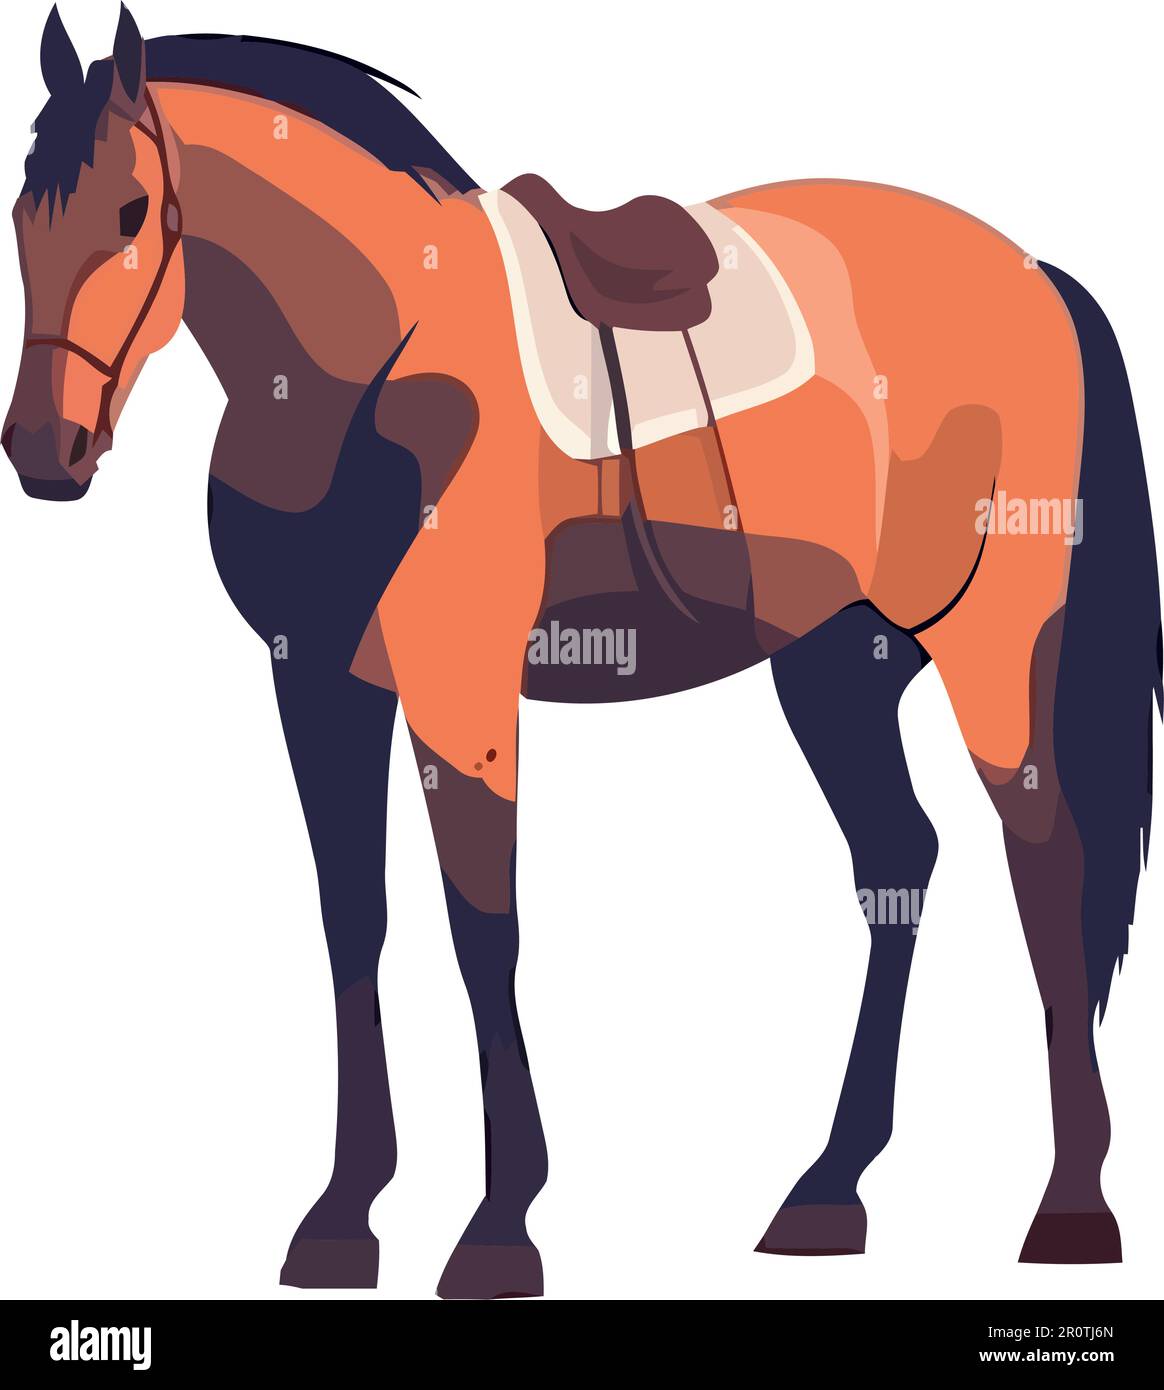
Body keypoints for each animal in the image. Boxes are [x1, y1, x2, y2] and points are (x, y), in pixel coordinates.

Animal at [4, 5, 1159, 1299]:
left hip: (989, 647)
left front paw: (500, 1223)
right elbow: (355, 919)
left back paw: (1071, 1204)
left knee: (1046, 861)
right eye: (22, 218)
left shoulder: (460, 687)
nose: (44, 449)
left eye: (130, 213)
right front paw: (344, 1215)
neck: (370, 362)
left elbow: (483, 927)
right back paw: (829, 1188)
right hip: (833, 664)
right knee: (898, 861)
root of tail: (1038, 276)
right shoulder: (316, 683)